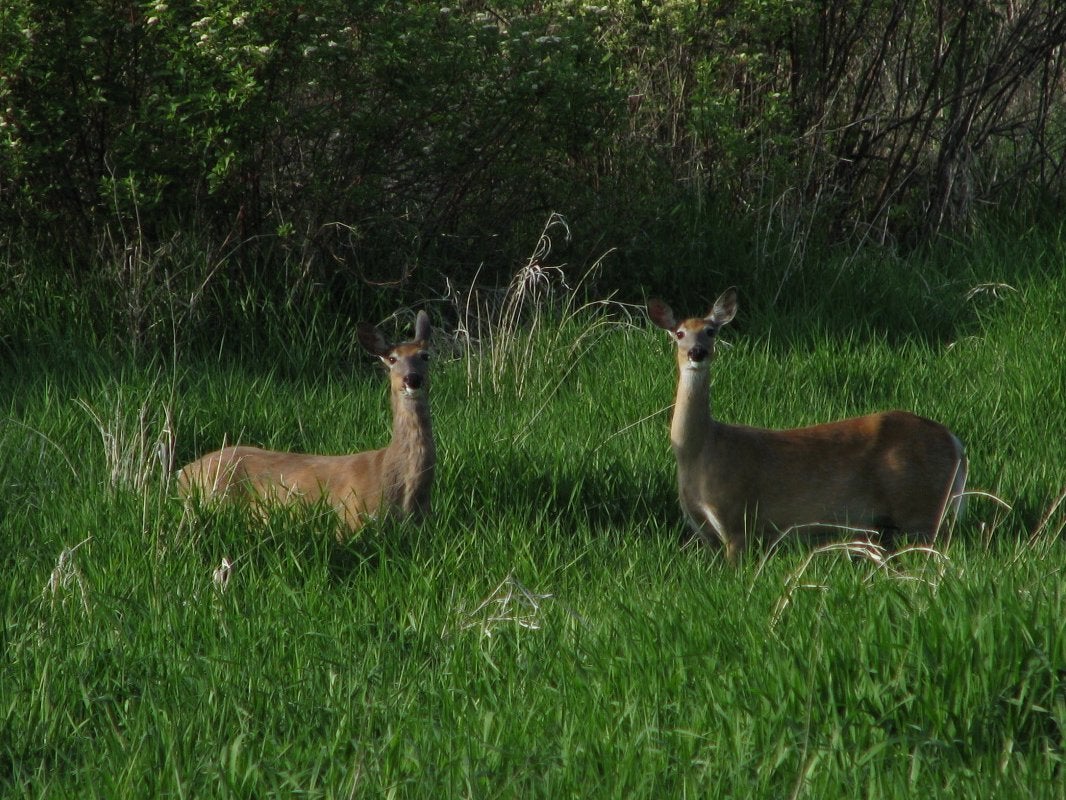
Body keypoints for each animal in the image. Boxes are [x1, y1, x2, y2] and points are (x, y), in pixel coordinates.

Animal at [647, 288, 968, 564]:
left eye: (711, 331)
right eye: (679, 333)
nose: (697, 352)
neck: (700, 452)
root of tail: (955, 443)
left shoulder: (737, 516)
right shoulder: (705, 530)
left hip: (923, 505)